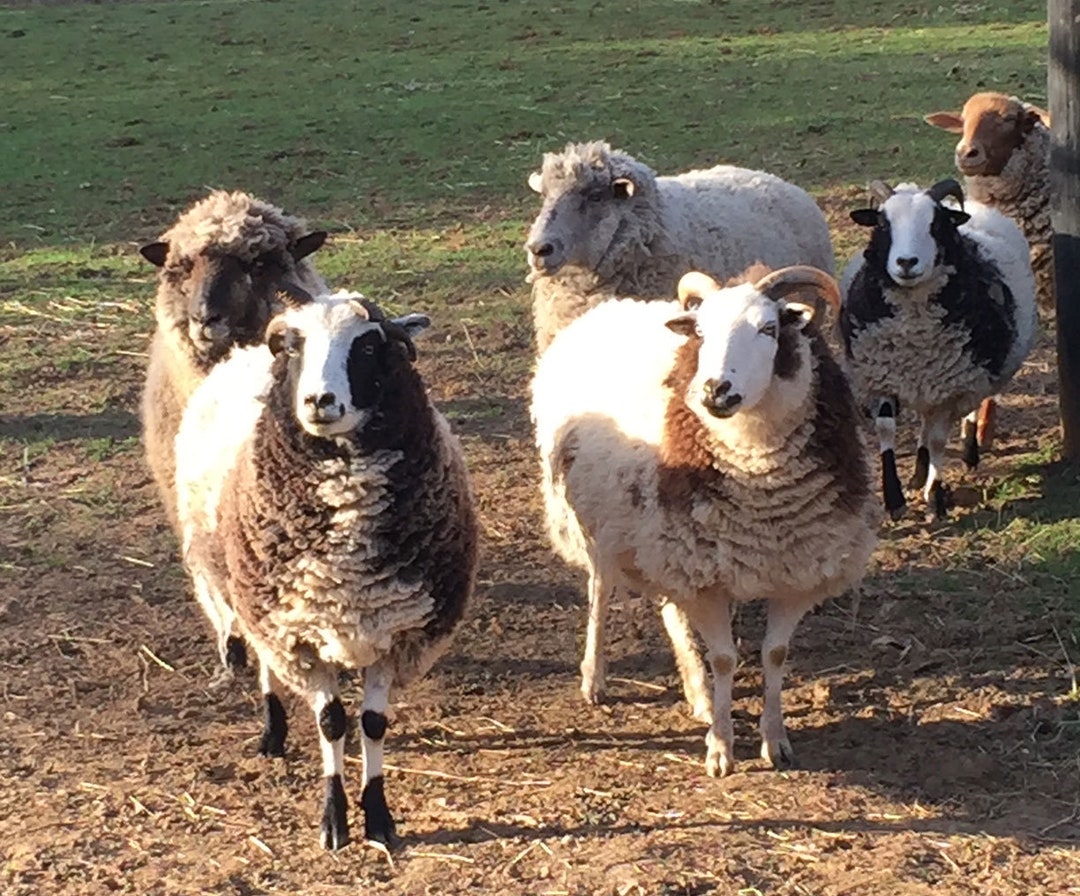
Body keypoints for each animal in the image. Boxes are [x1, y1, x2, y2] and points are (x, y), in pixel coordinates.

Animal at [140, 189, 327, 670]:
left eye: (258, 264)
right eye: (183, 267)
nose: (206, 318)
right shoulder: (188, 498)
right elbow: (210, 569)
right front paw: (231, 637)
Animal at [174, 290, 479, 850]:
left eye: (368, 347)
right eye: (293, 347)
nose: (320, 402)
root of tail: (243, 353)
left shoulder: (397, 633)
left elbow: (373, 723)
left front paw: (378, 818)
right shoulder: (298, 635)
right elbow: (333, 721)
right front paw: (334, 820)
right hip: (247, 591)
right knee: (266, 664)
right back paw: (272, 732)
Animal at [530, 265, 880, 776]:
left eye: (769, 328)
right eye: (700, 332)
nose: (716, 390)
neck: (762, 487)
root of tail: (608, 308)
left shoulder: (792, 572)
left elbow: (774, 654)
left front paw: (775, 740)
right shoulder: (704, 576)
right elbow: (724, 659)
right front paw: (720, 748)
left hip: (664, 538)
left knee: (671, 609)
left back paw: (697, 691)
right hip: (600, 526)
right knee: (600, 592)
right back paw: (594, 678)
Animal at [839, 179, 1037, 520]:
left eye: (935, 224)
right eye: (882, 224)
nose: (906, 262)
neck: (915, 337)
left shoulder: (953, 386)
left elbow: (938, 441)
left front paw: (935, 497)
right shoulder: (881, 379)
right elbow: (887, 430)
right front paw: (895, 499)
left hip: (973, 370)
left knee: (964, 412)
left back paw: (967, 454)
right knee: (924, 420)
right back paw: (918, 473)